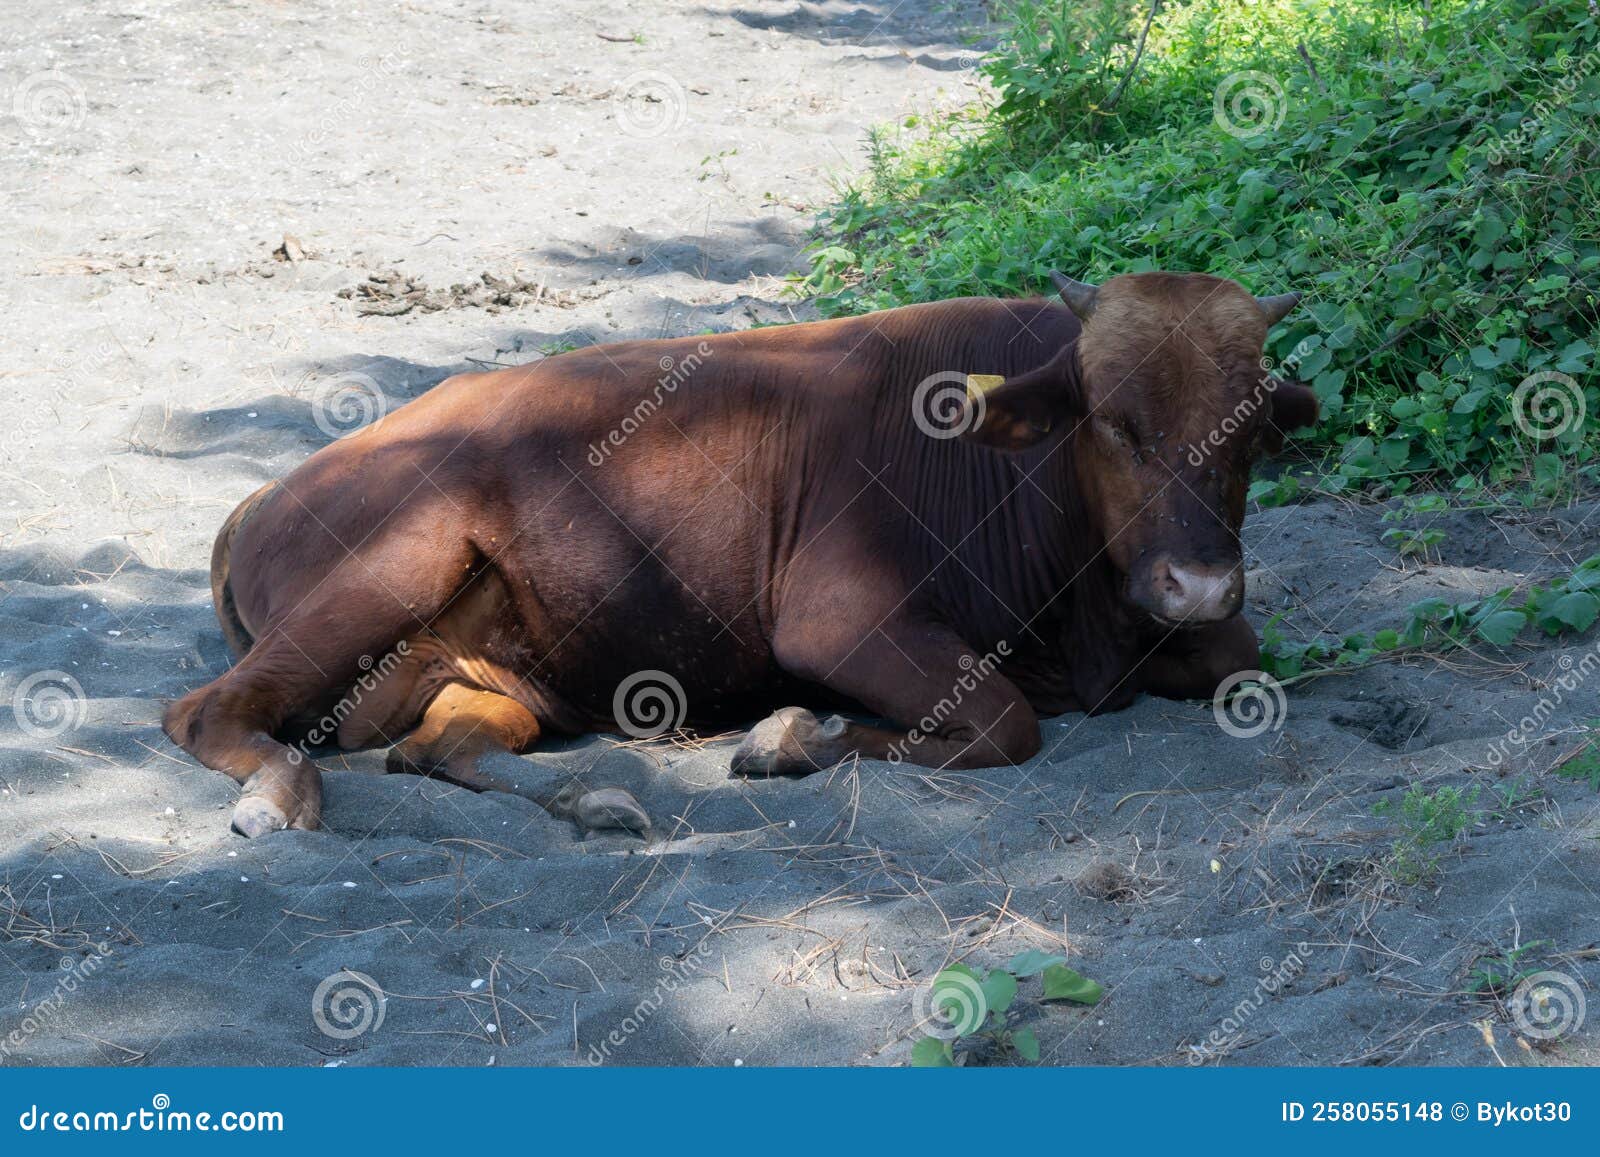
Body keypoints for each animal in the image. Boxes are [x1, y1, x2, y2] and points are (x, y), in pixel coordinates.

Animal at [163, 271, 1317, 837]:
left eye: (1255, 428)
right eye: (1116, 423)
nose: (1198, 580)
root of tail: (266, 492)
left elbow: (1242, 658)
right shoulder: (836, 619)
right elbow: (1002, 720)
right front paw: (788, 735)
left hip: (491, 677)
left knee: (435, 747)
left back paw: (597, 800)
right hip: (396, 564)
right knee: (205, 712)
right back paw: (280, 800)